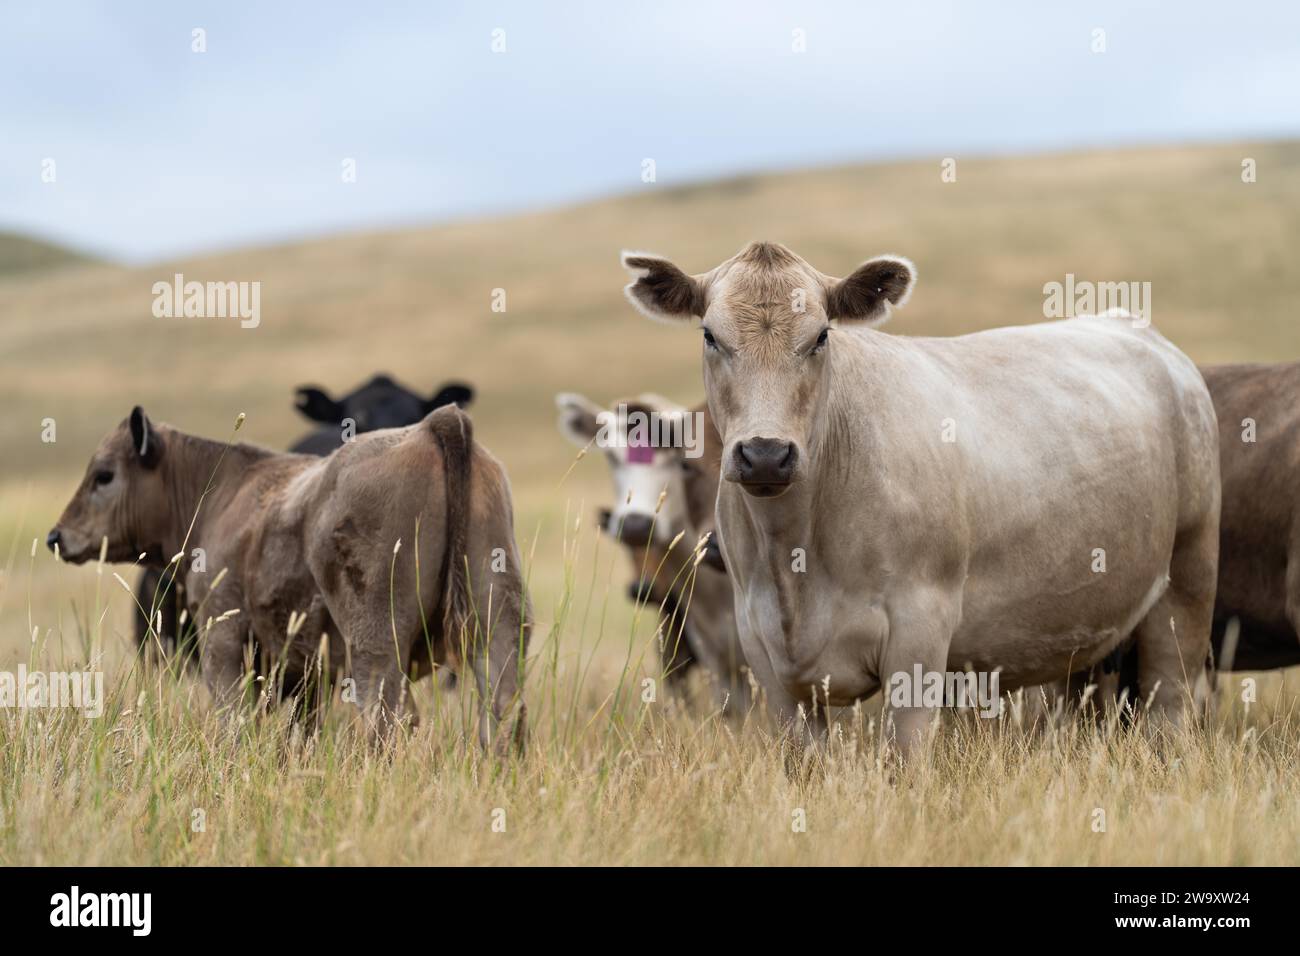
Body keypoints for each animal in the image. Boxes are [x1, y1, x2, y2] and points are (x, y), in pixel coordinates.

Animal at [50, 405, 527, 750]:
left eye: (104, 474)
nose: (57, 536)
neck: (223, 494)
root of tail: (432, 424)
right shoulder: (306, 672)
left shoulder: (222, 637)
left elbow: (233, 717)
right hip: (495, 624)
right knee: (502, 708)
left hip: (376, 642)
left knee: (387, 715)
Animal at [622, 240, 1220, 757]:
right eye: (710, 336)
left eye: (820, 337)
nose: (766, 454)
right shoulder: (766, 657)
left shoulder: (919, 634)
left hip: (1187, 585)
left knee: (1170, 707)